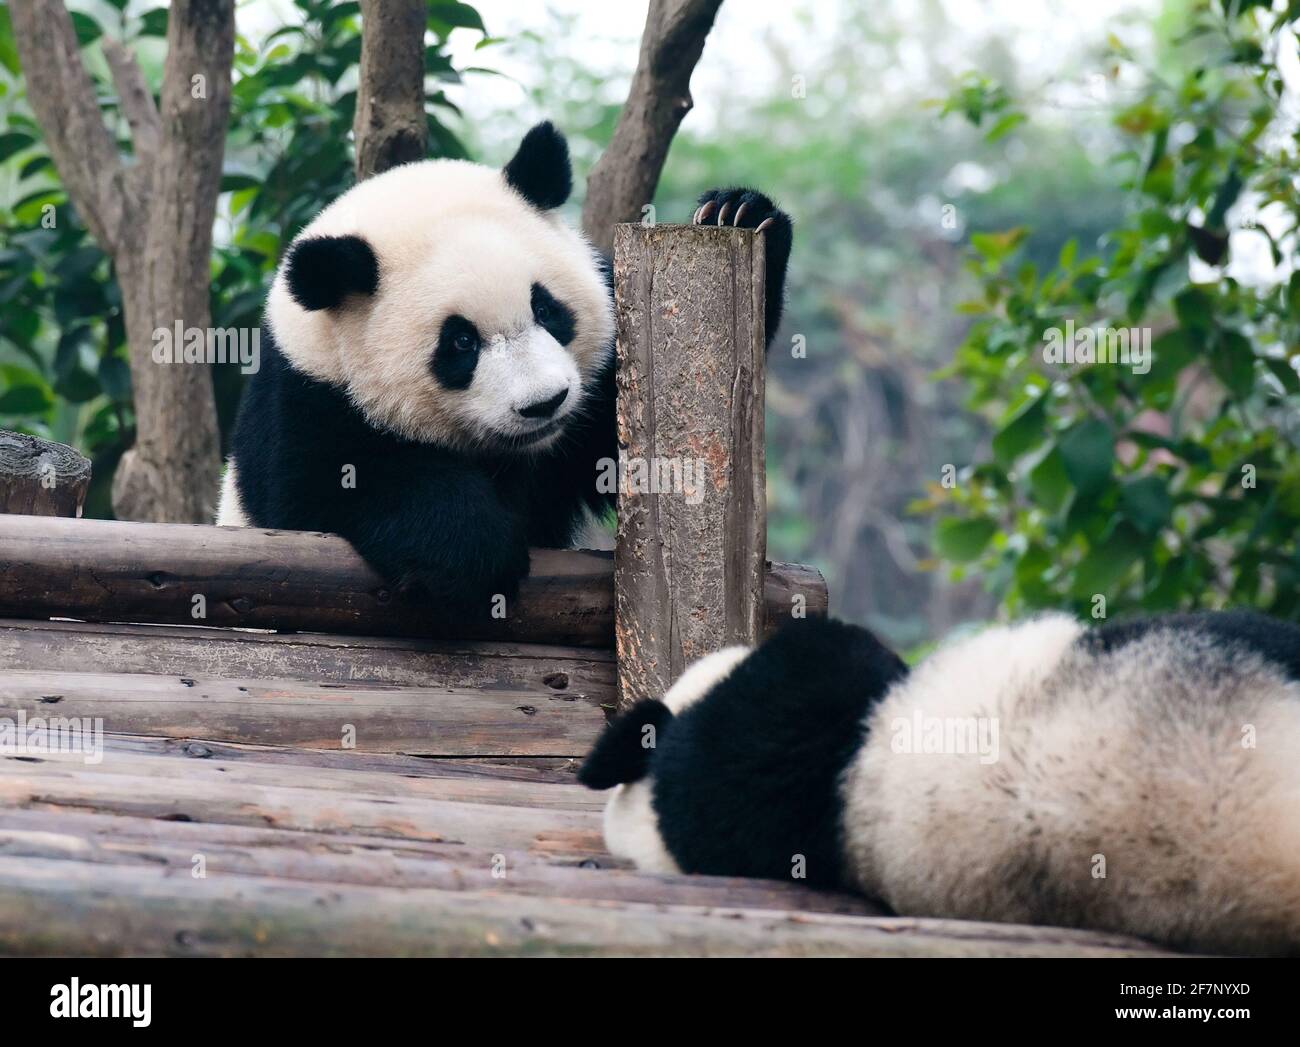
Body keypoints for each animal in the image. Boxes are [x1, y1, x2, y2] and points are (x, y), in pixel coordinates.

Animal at [217, 122, 792, 617]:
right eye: (460, 343)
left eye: (547, 310)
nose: (545, 404)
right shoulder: (306, 397)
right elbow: (321, 497)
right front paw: (468, 554)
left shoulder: (588, 408)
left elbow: (619, 440)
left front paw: (736, 212)